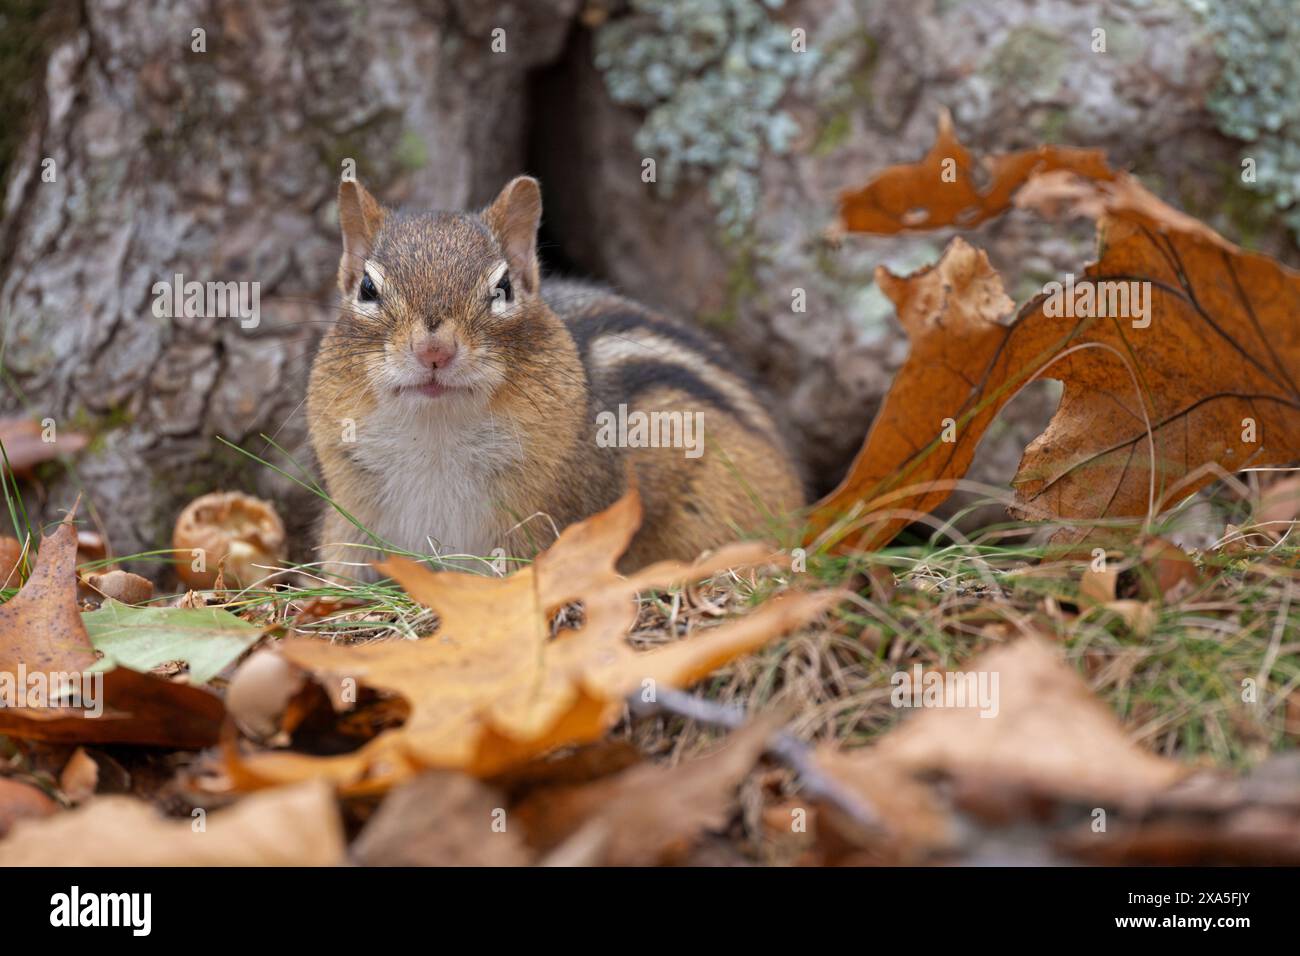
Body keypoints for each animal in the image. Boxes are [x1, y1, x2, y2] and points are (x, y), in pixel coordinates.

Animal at [307, 176, 805, 578]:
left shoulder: (534, 522)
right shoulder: (350, 519)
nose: (434, 351)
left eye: (503, 288)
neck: (435, 436)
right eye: (367, 289)